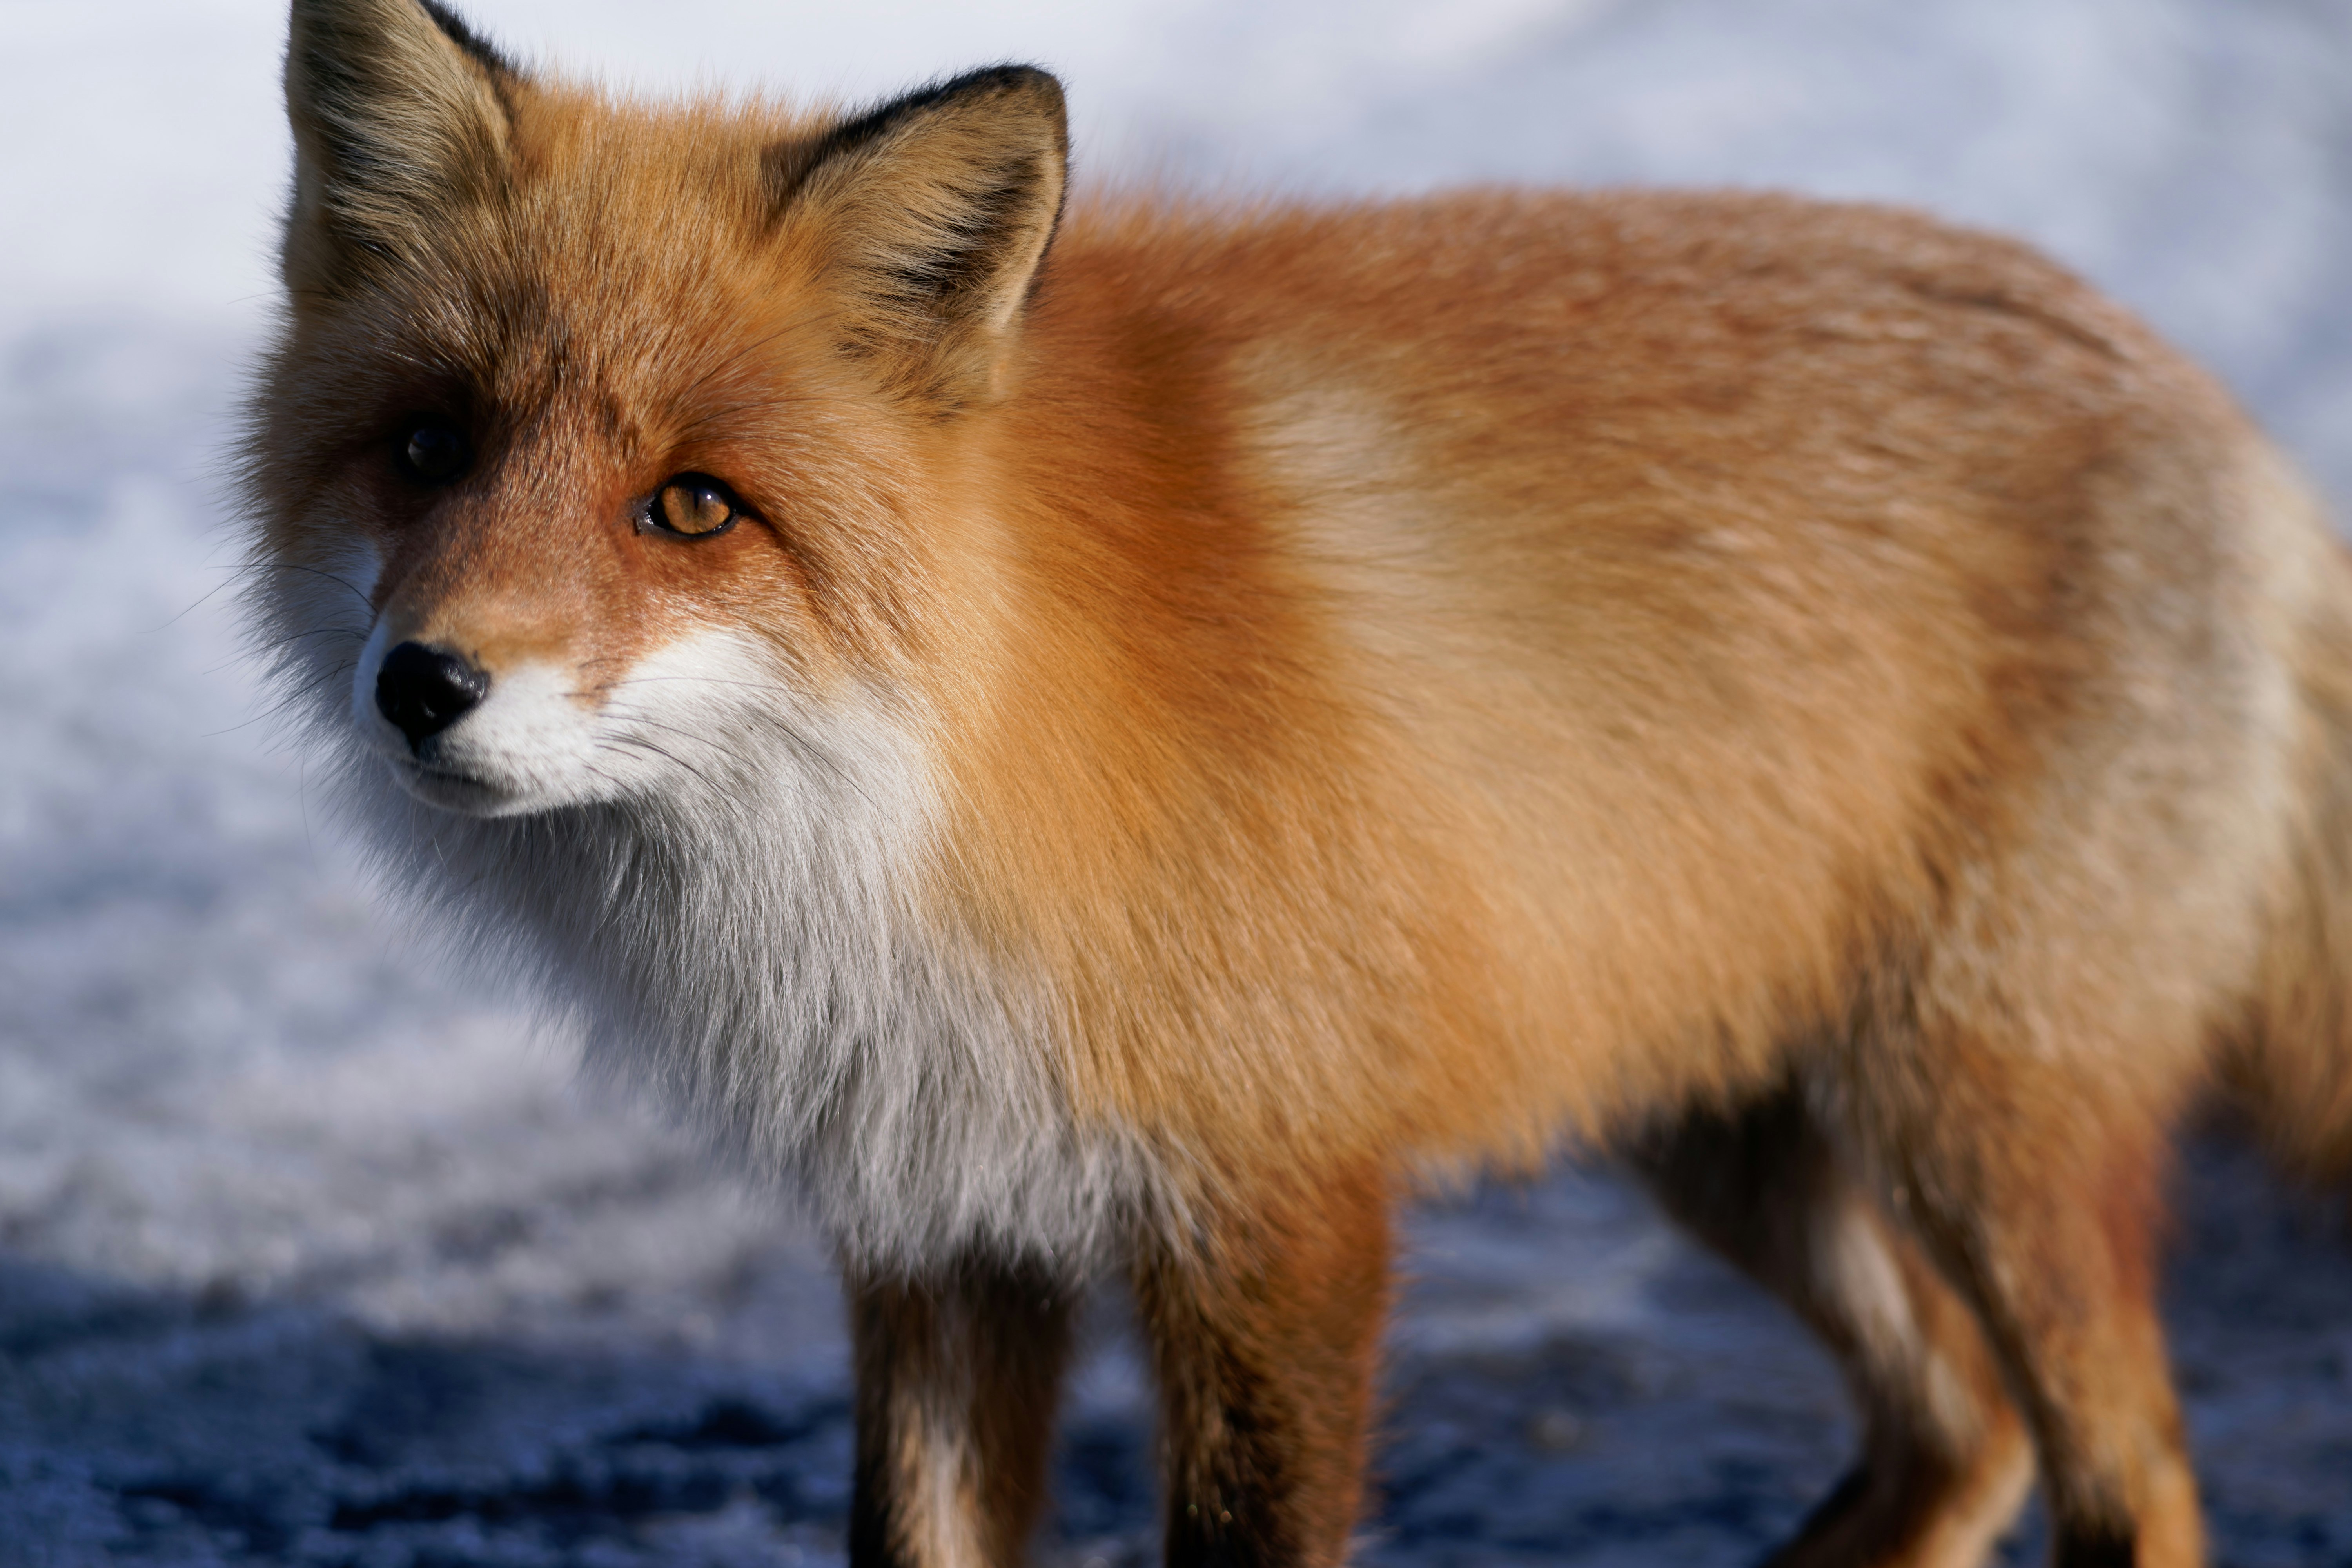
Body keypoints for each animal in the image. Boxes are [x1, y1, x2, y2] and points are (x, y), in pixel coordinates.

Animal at [240, 1, 2352, 1565]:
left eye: (692, 506)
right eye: (429, 447)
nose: (423, 684)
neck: (927, 795)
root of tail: (2211, 407)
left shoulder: (1280, 1205)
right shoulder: (938, 1224)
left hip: (1979, 1120)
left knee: (2124, 1473)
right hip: (1727, 1127)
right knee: (1962, 1432)